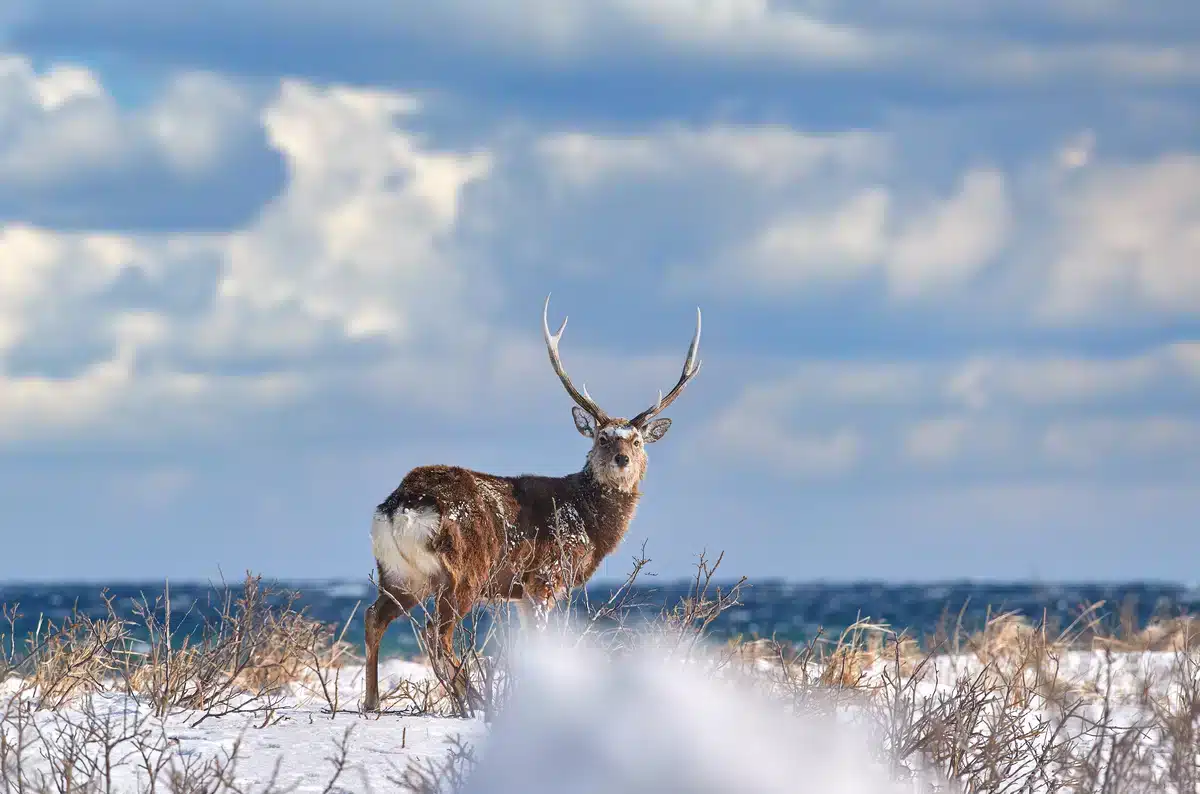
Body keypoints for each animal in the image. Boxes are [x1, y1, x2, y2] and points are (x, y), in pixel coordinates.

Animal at [362, 295, 702, 711]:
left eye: (636, 440)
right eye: (602, 438)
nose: (622, 459)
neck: (589, 525)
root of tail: (403, 504)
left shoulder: (521, 593)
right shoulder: (545, 576)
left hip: (399, 573)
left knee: (374, 618)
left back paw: (373, 702)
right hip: (463, 572)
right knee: (435, 634)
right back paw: (474, 701)